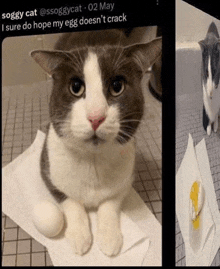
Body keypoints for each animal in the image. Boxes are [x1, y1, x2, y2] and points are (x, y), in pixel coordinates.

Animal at [31, 28, 162, 256]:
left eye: (117, 86)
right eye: (76, 87)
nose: (96, 117)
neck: (92, 160)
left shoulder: (126, 177)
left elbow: (110, 202)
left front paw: (109, 238)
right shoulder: (48, 168)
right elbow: (70, 200)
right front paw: (79, 236)